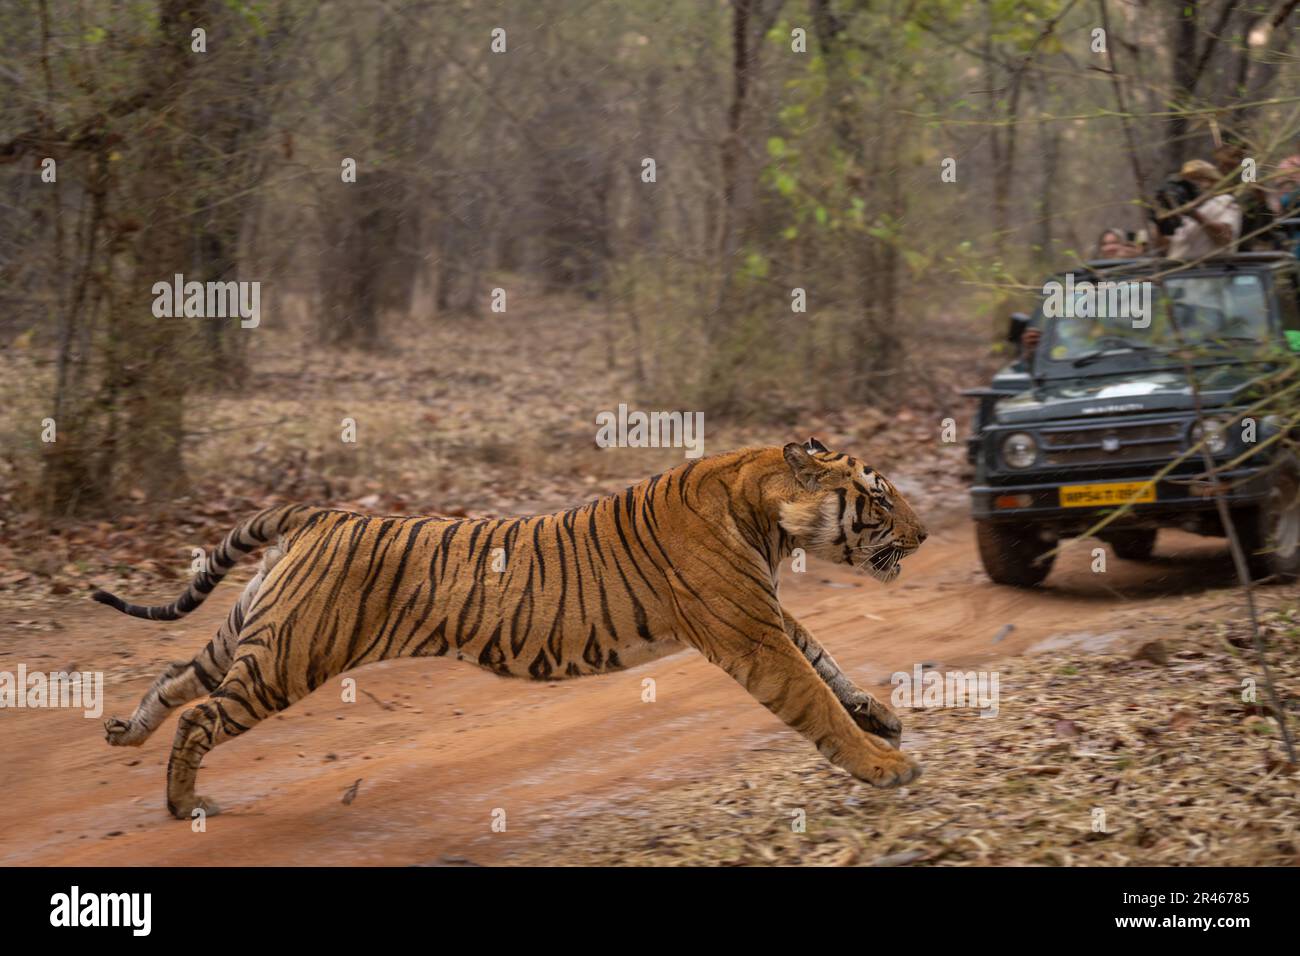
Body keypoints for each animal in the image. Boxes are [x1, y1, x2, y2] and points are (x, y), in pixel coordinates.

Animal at [94, 438, 928, 819]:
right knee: (200, 715)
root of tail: (316, 513)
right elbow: (812, 696)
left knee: (176, 678)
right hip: (288, 658)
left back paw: (123, 734)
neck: (763, 512)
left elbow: (827, 663)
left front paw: (881, 717)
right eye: (879, 498)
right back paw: (184, 808)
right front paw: (885, 766)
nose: (922, 536)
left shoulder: (766, 613)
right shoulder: (751, 633)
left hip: (254, 636)